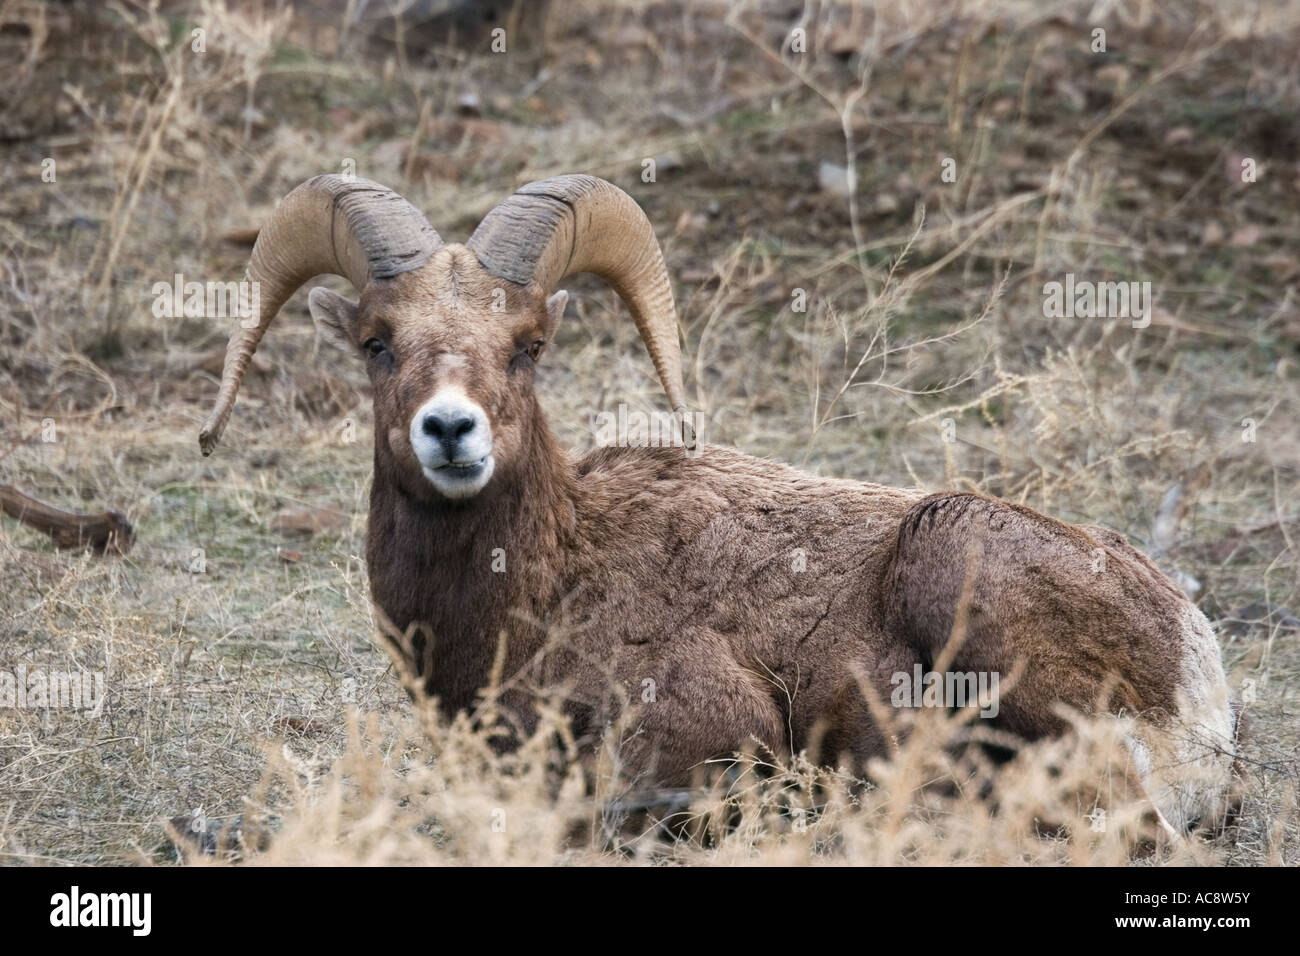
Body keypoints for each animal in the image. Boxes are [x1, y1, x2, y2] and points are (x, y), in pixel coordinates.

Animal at [199, 173, 1238, 833]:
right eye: (377, 343)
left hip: (958, 568)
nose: (451, 431)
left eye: (528, 346)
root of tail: (1196, 662)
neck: (543, 589)